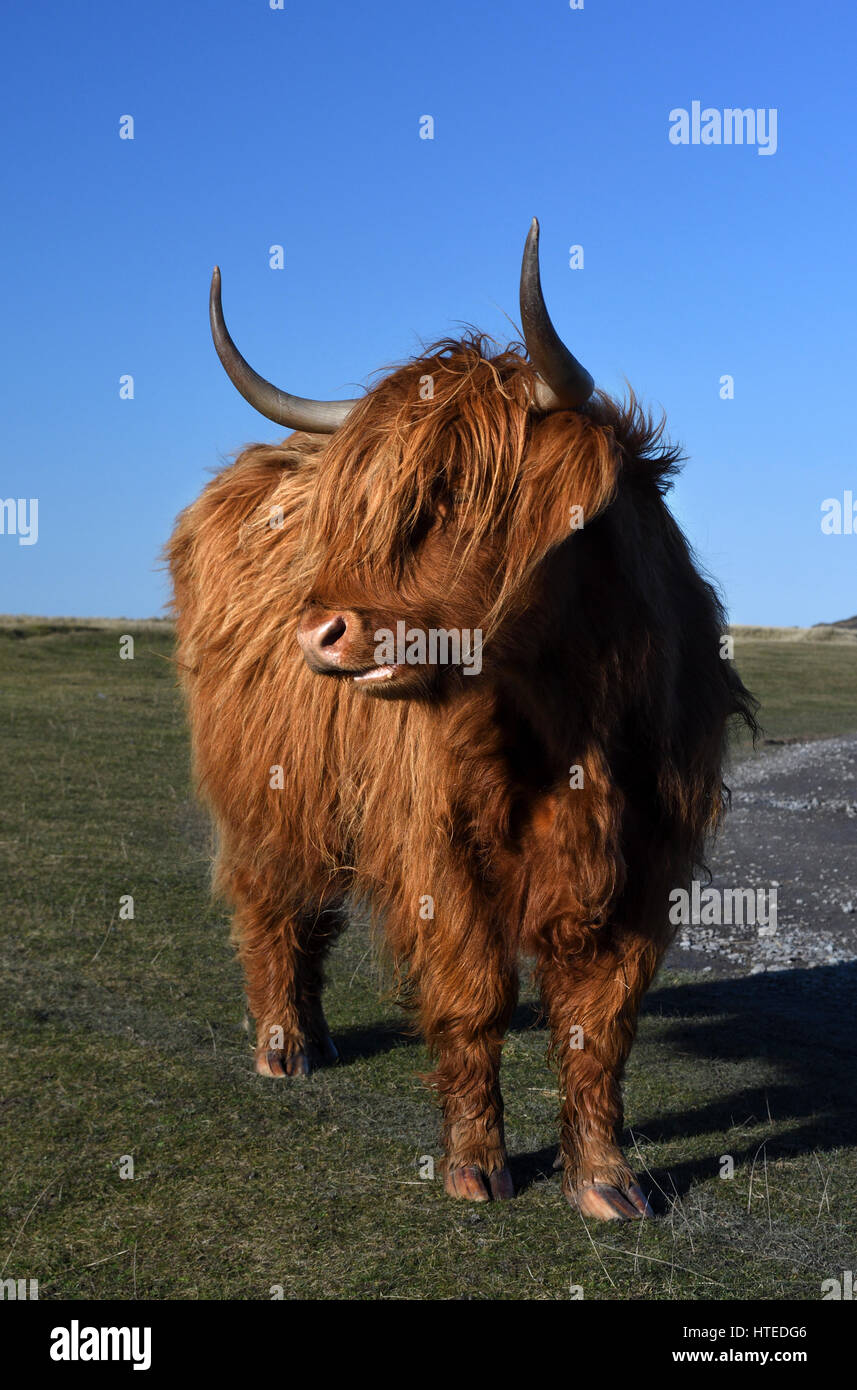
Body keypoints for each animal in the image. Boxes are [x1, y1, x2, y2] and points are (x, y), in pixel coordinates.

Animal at [167, 220, 757, 1221]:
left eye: (454, 495)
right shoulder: (438, 849)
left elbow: (602, 1019)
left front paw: (605, 1179)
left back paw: (318, 1035)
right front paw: (476, 1164)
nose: (318, 631)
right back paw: (286, 1045)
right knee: (276, 901)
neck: (564, 722)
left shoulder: (649, 856)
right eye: (360, 507)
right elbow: (471, 990)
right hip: (268, 788)